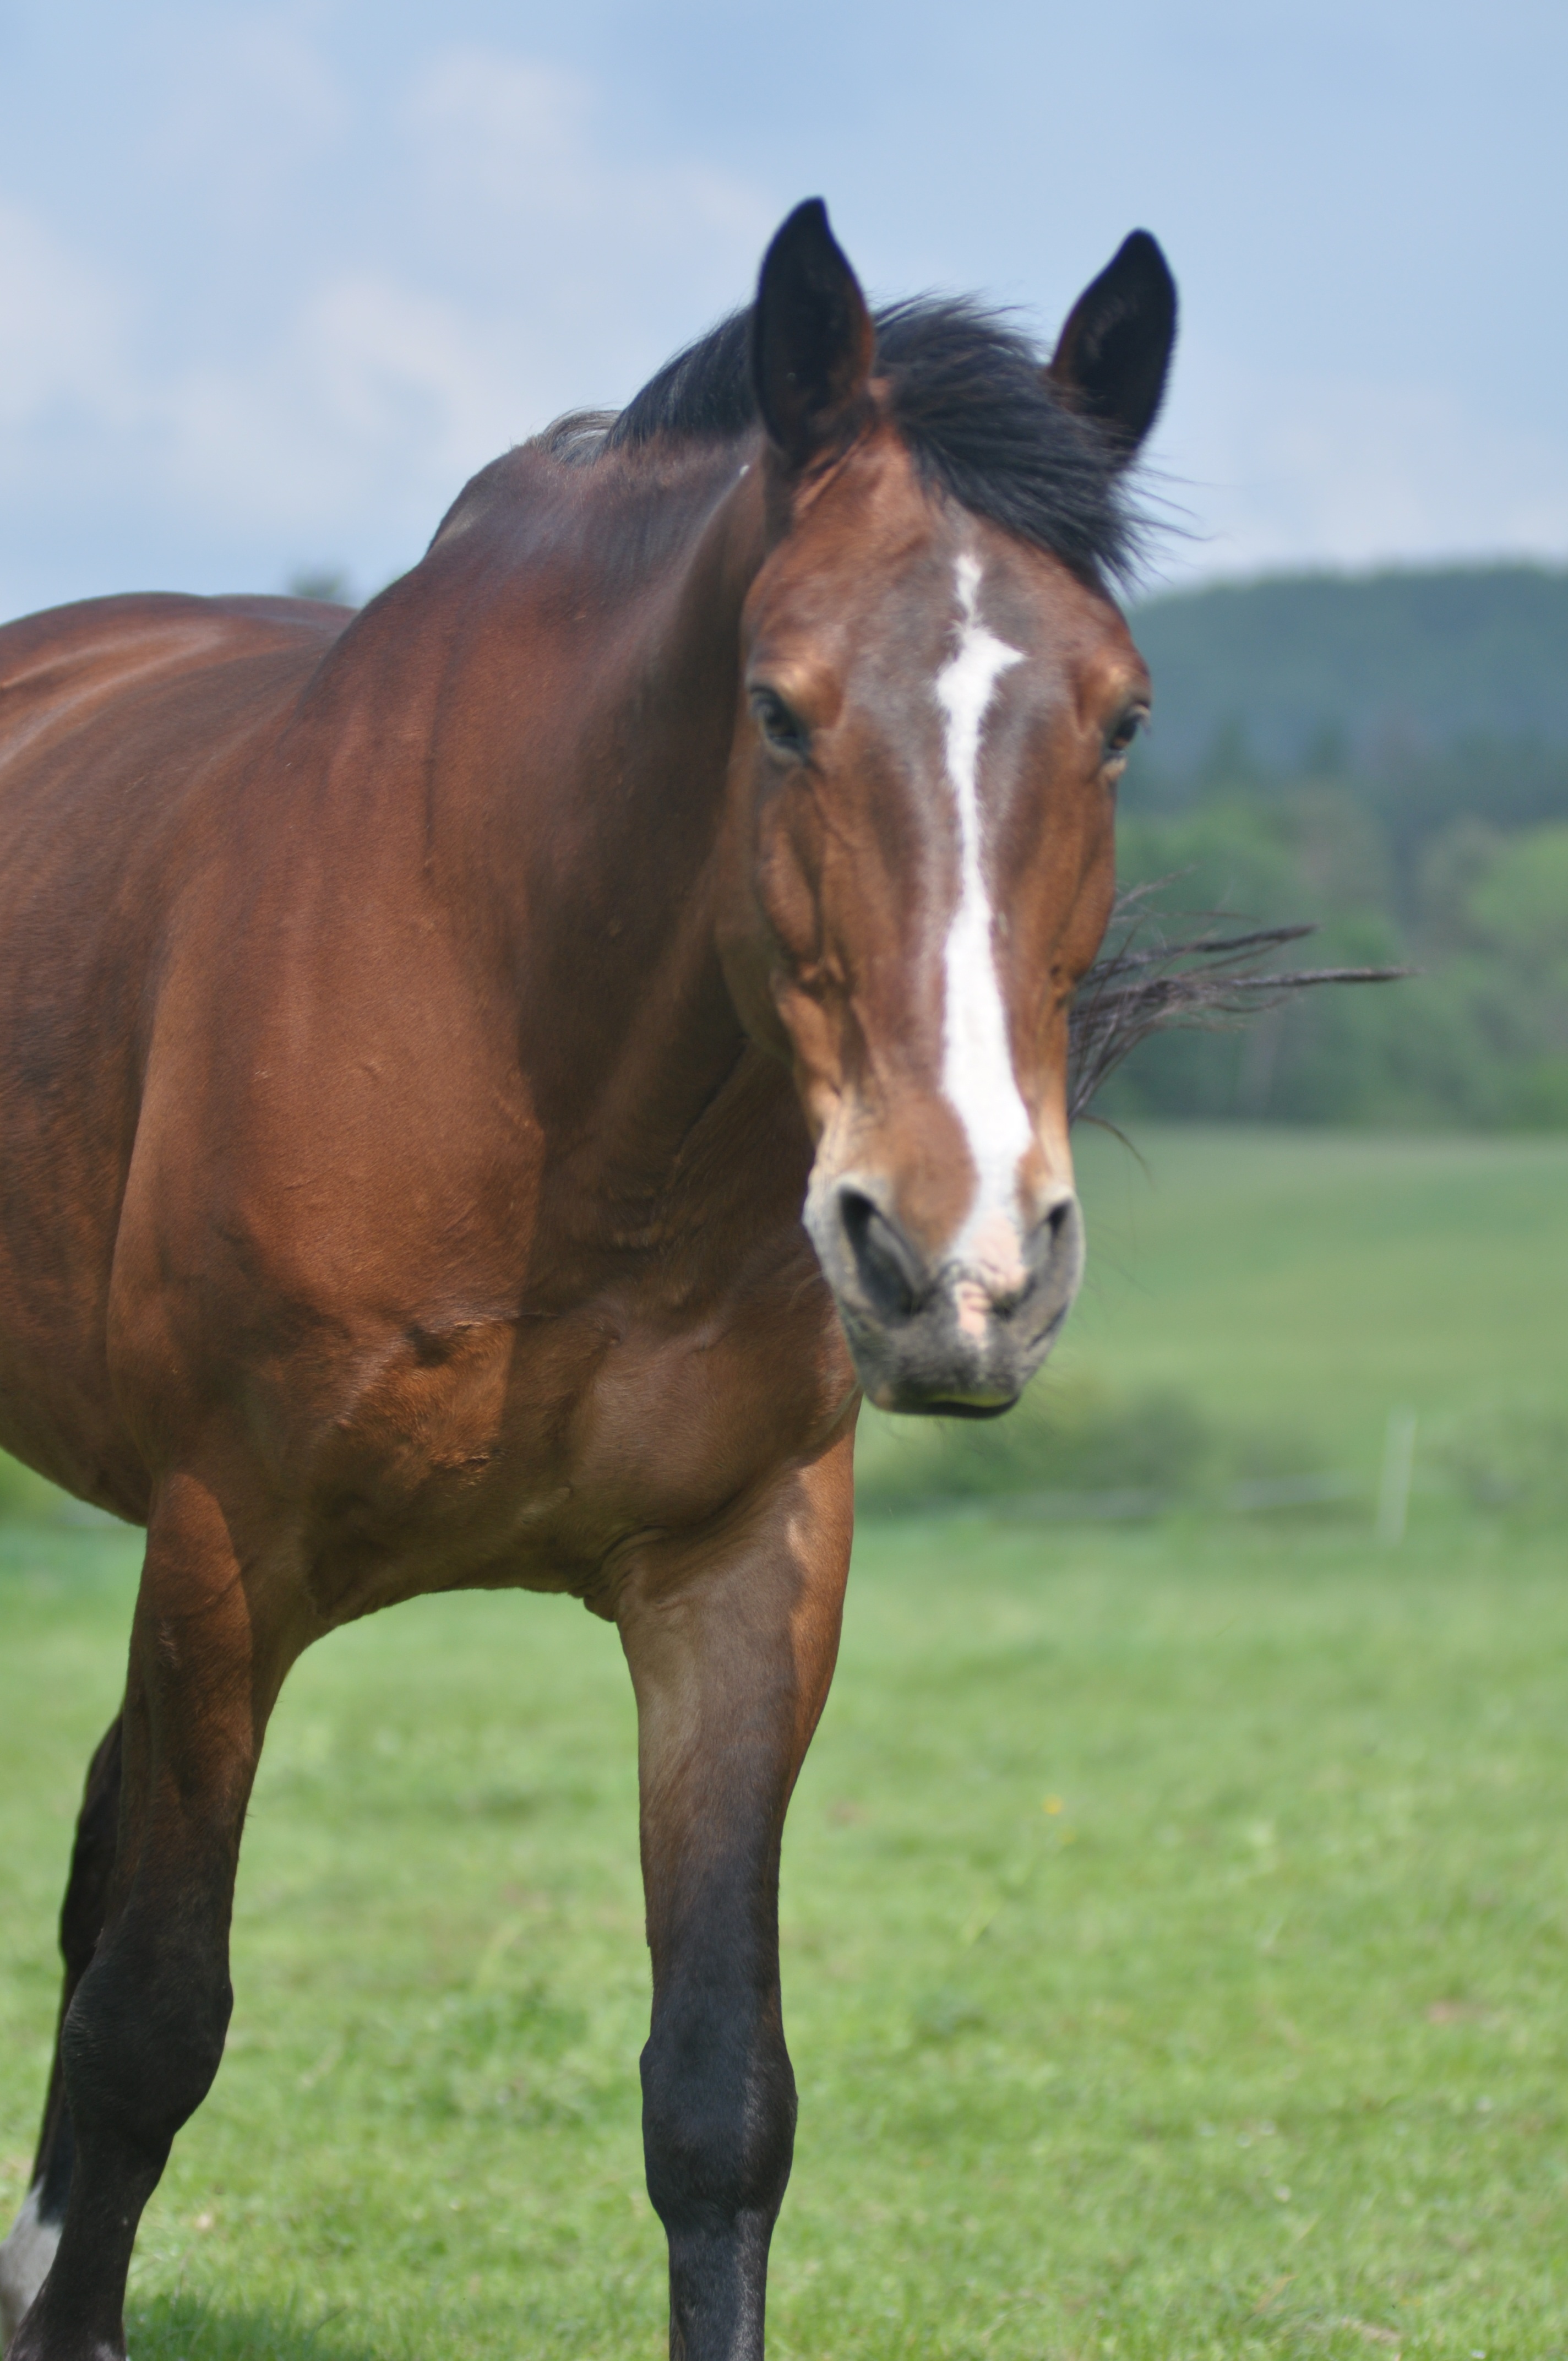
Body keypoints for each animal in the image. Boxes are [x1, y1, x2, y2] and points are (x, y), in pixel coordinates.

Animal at [0, 198, 1179, 2361]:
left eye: (1116, 714)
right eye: (778, 706)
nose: (960, 1257)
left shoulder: (741, 1572)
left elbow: (719, 2098)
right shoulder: (224, 1545)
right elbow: (150, 2022)